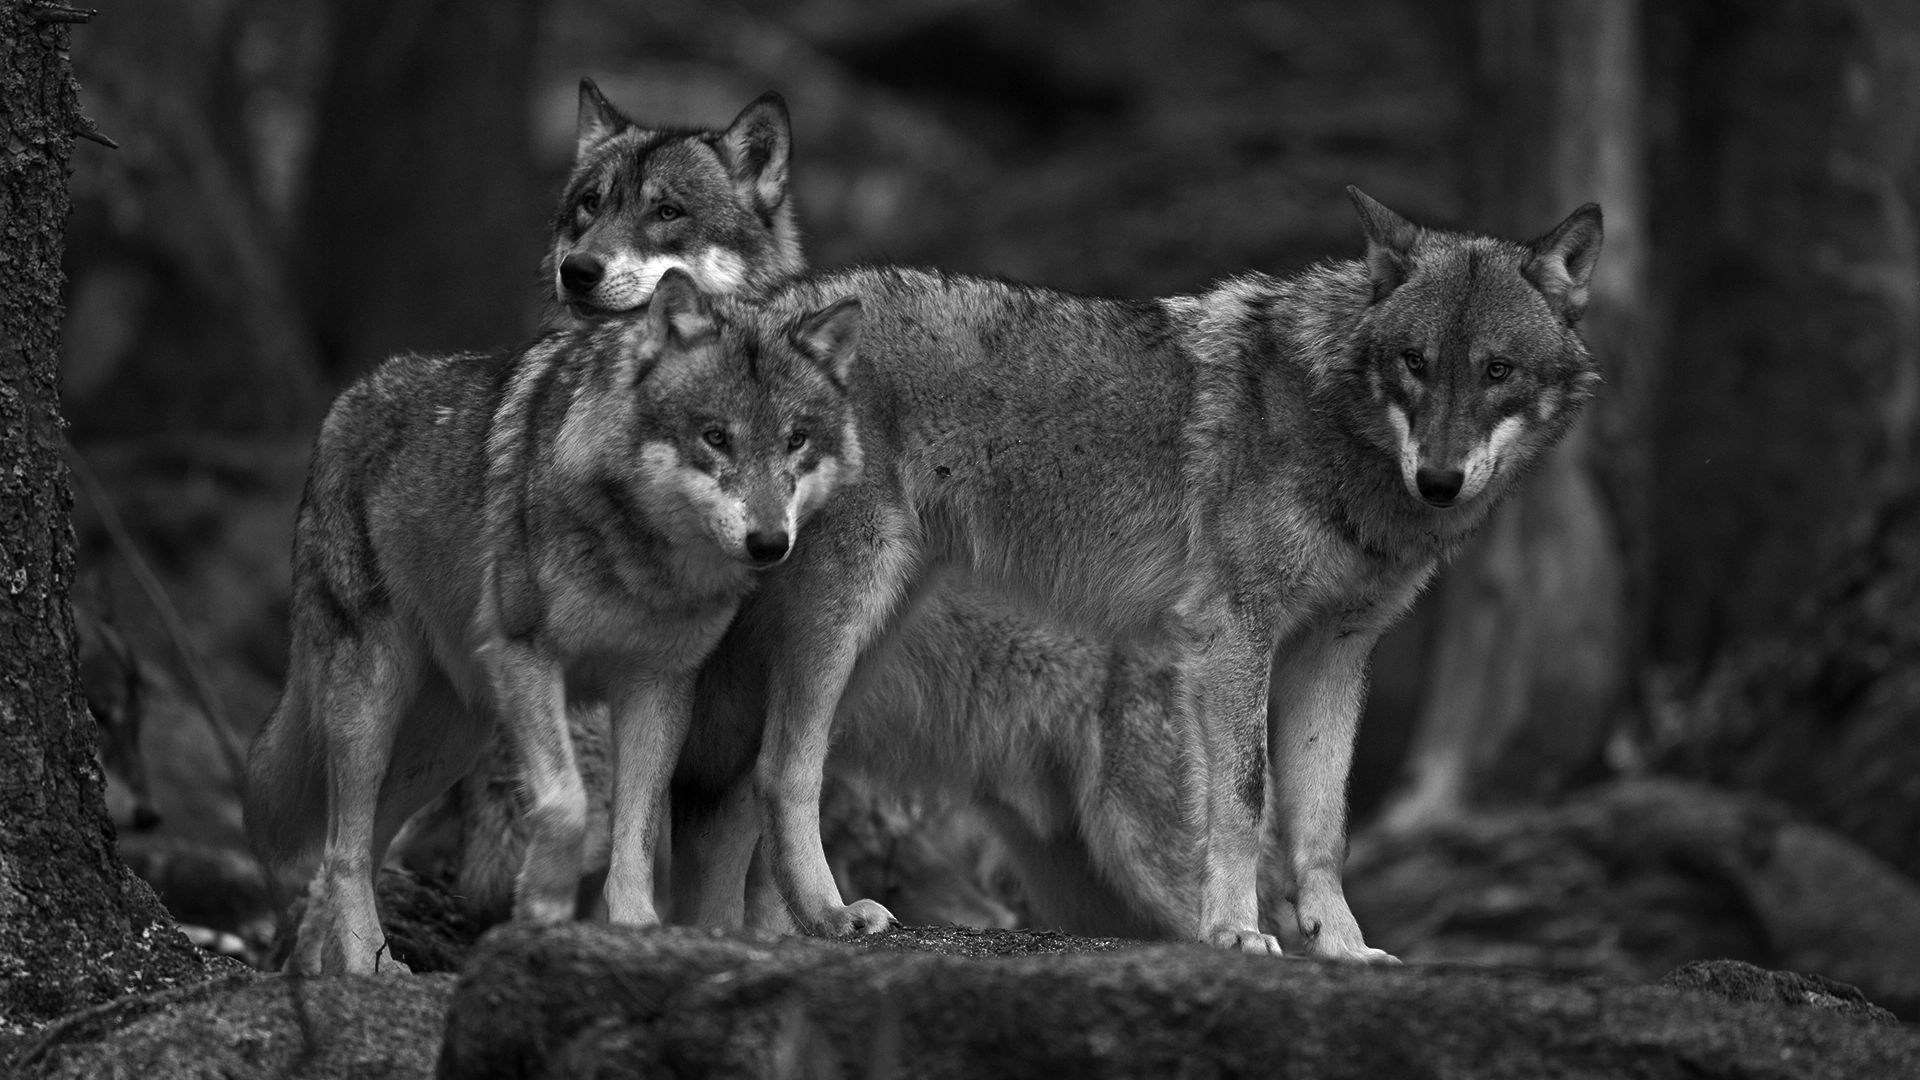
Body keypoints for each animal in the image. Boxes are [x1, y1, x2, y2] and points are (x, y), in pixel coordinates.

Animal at [242, 270, 864, 974]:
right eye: (716, 437)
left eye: (795, 440)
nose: (769, 543)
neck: (643, 562)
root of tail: (344, 404)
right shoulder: (528, 657)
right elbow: (567, 804)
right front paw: (540, 906)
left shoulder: (658, 688)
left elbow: (635, 838)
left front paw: (636, 932)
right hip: (371, 704)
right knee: (343, 848)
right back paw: (363, 965)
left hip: (446, 745)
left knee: (359, 846)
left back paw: (332, 969)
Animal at [673, 188, 1604, 959]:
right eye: (1414, 360)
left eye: (1496, 369)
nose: (1441, 480)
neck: (1336, 429)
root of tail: (758, 310)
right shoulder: (1234, 634)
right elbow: (1242, 801)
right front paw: (1236, 933)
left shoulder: (1334, 654)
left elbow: (1321, 830)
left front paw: (1344, 950)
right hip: (846, 618)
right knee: (781, 772)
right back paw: (828, 915)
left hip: (871, 638)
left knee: (737, 791)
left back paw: (750, 936)